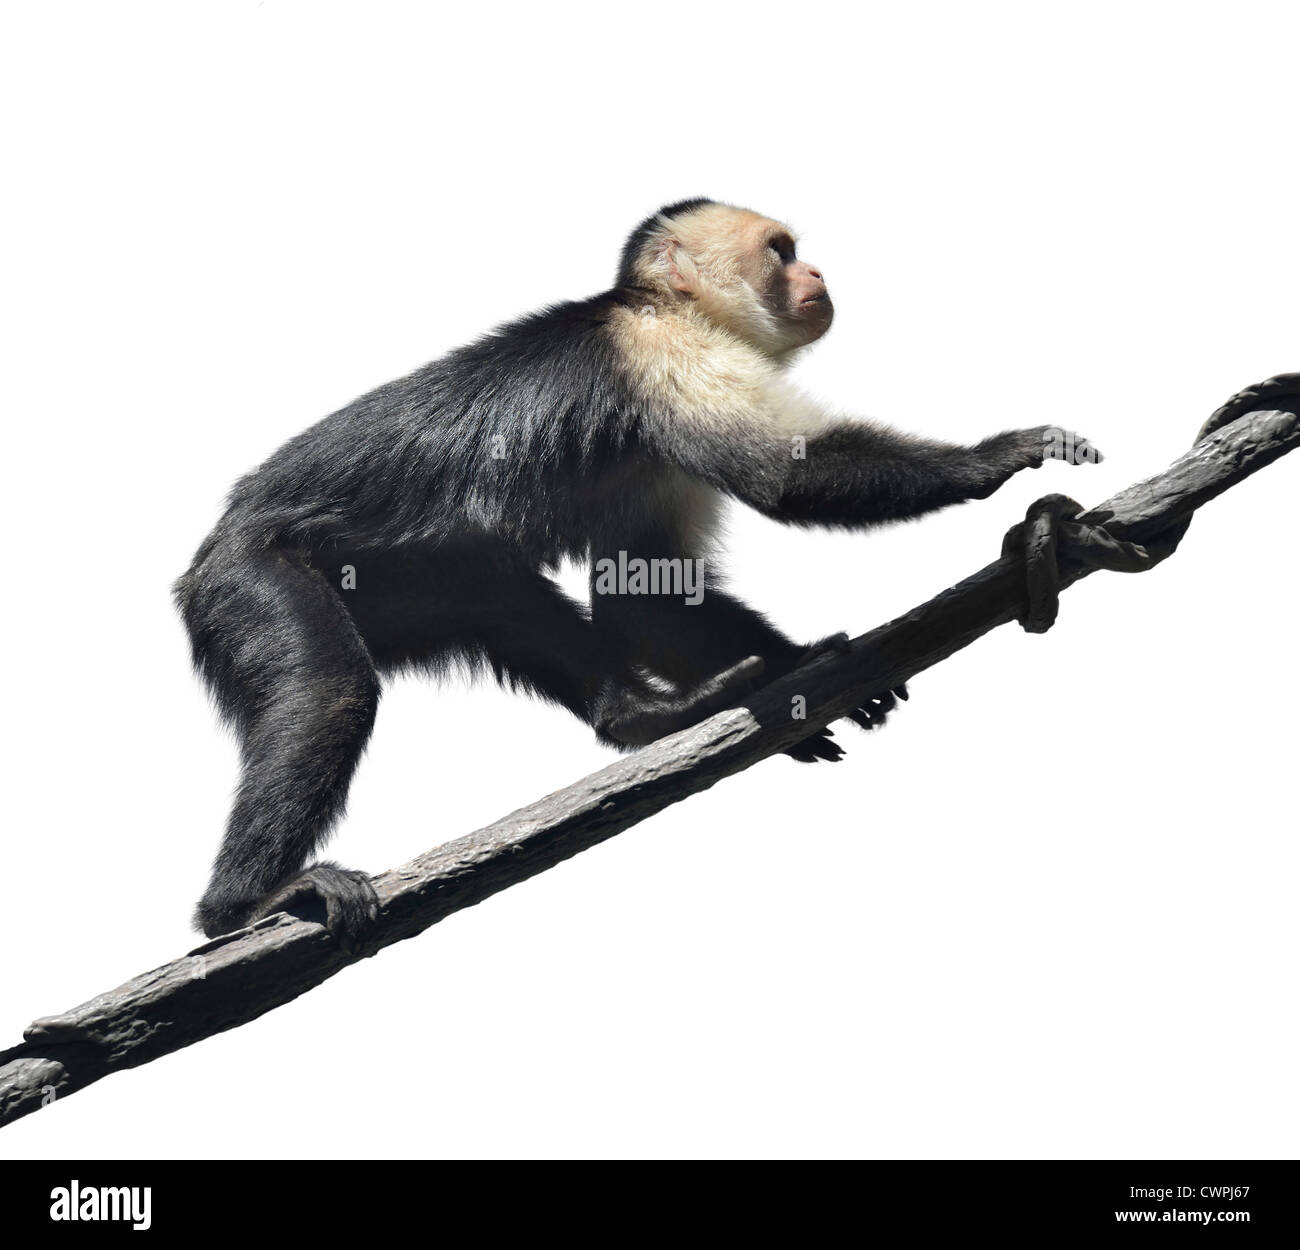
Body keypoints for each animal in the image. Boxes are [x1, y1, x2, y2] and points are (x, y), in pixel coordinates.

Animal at [175, 197, 1099, 948]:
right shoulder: (665, 352)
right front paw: (990, 458)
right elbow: (786, 480)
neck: (666, 309)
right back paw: (246, 904)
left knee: (495, 591)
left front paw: (797, 666)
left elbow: (643, 595)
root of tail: (210, 549)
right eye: (781, 250)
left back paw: (643, 716)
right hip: (248, 579)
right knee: (330, 688)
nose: (818, 273)